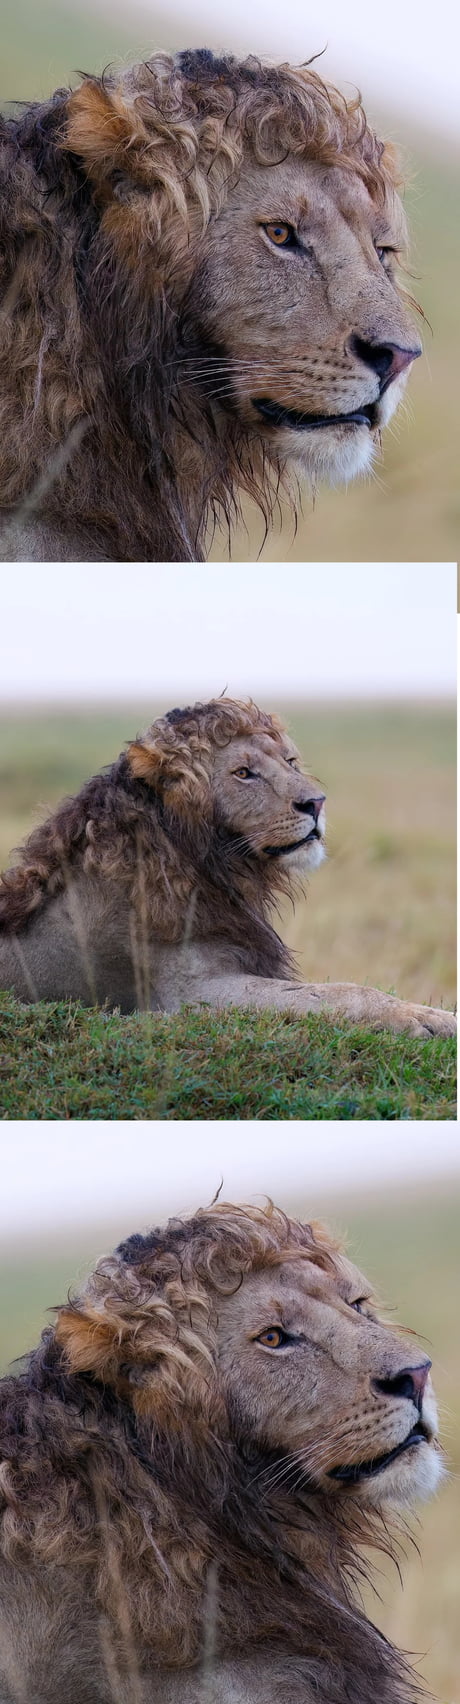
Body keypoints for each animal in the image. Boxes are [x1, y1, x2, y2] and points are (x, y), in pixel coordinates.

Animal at [0, 697, 454, 1037]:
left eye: (290, 761)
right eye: (244, 773)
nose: (316, 803)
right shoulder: (189, 994)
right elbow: (341, 992)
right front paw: (423, 1018)